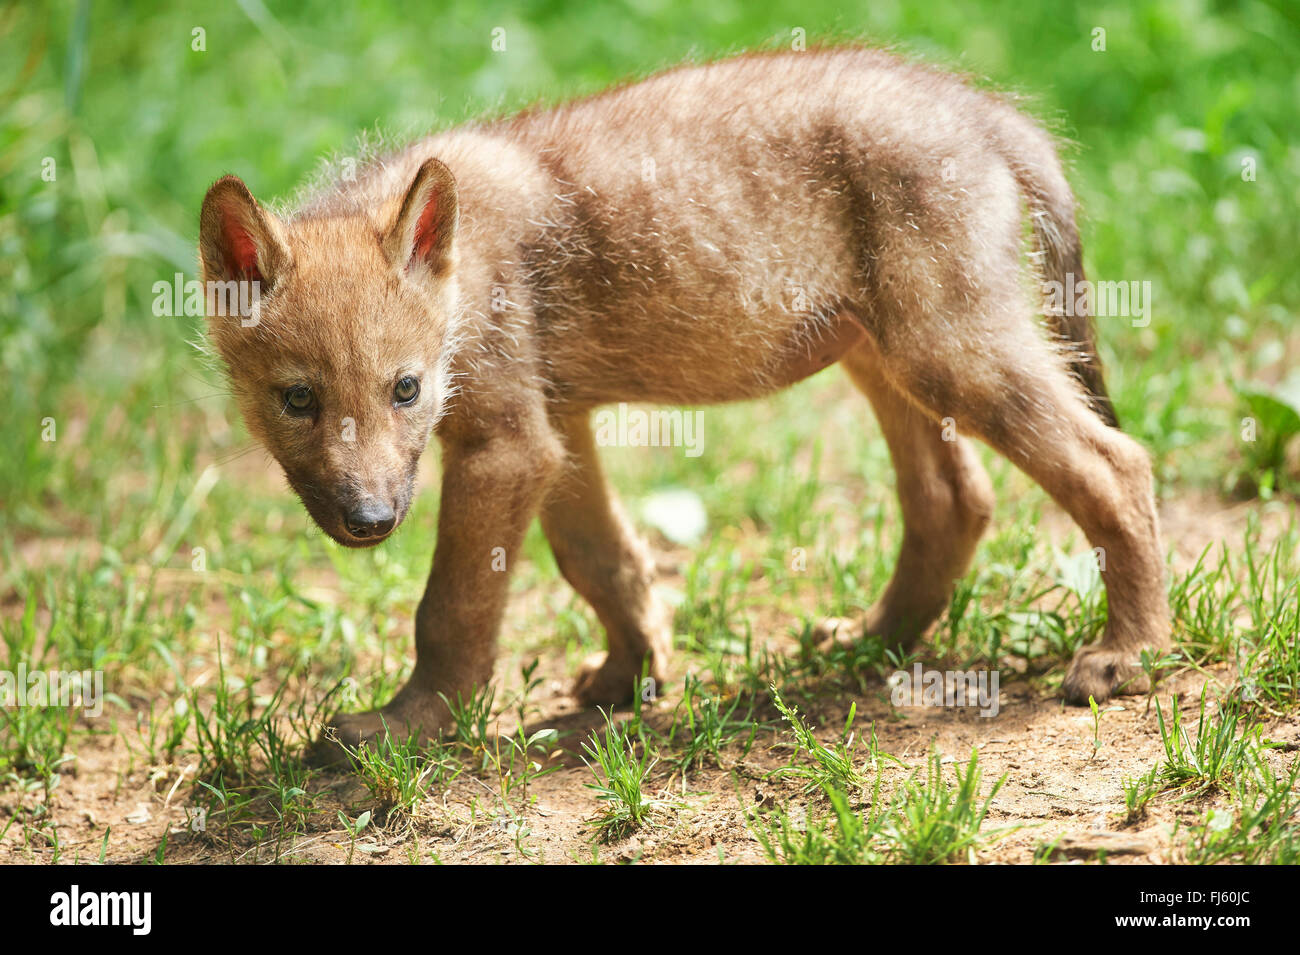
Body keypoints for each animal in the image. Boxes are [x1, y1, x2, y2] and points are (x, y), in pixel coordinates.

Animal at [198, 46, 1169, 750]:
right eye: (297, 399)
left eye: (406, 388)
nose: (368, 520)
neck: (463, 277)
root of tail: (983, 107)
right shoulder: (557, 432)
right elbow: (604, 560)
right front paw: (633, 678)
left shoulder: (504, 444)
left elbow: (452, 609)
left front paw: (409, 725)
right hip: (885, 354)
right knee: (954, 497)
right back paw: (870, 642)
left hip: (952, 351)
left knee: (1115, 462)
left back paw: (1129, 655)